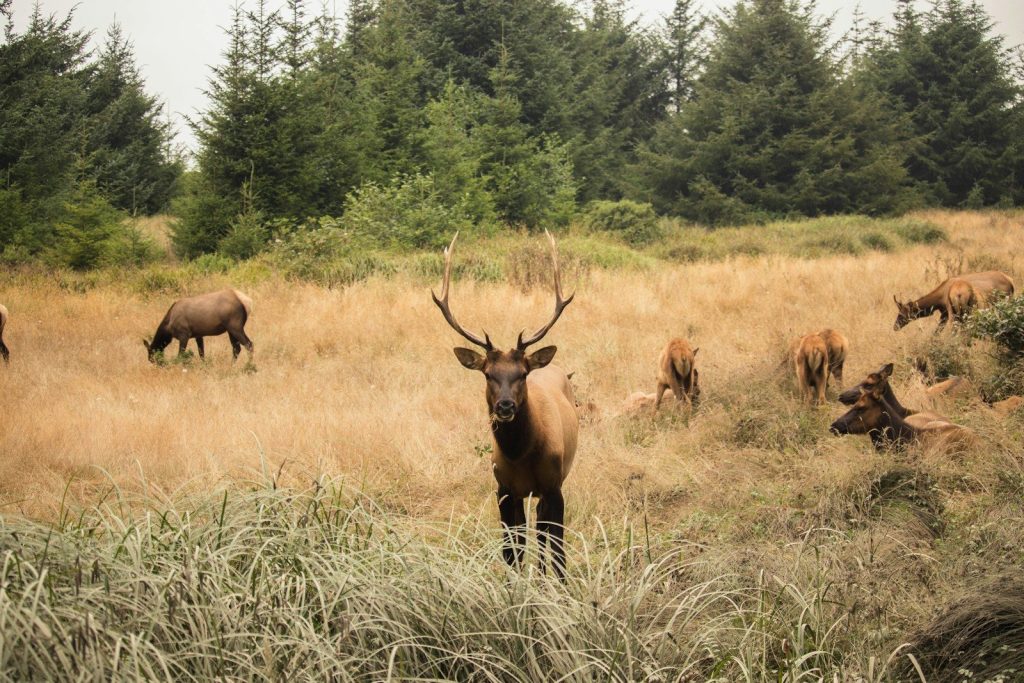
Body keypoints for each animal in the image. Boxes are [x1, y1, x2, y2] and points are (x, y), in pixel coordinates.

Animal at [433, 232, 578, 579]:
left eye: (522, 373)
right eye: (488, 374)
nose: (505, 406)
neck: (522, 455)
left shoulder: (554, 484)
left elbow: (558, 551)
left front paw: (561, 586)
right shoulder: (504, 488)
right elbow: (511, 551)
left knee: (544, 534)